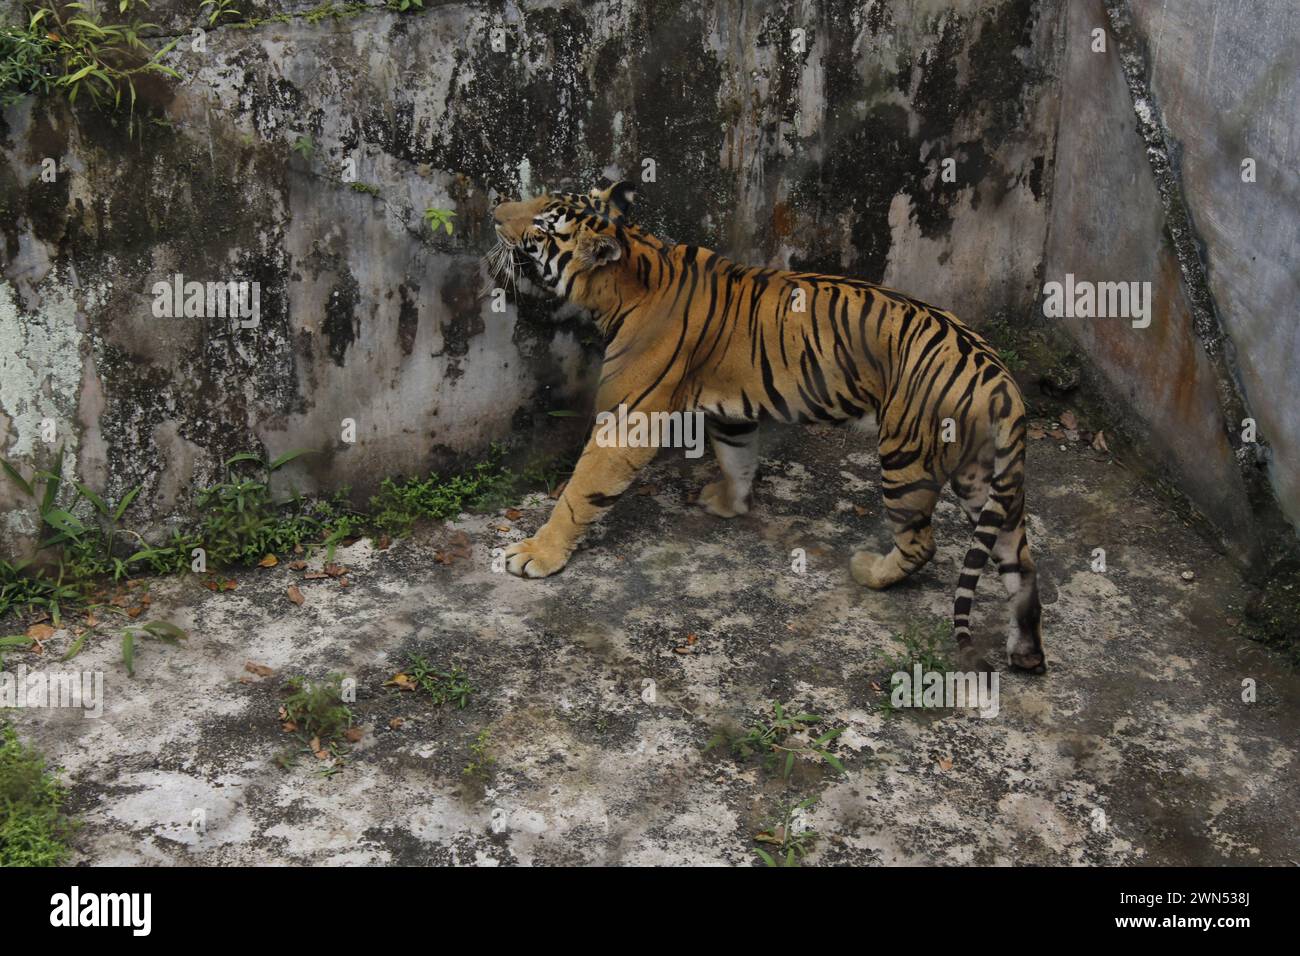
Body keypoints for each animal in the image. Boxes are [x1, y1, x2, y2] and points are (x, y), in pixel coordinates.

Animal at [485, 180, 1045, 673]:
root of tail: (1000, 377)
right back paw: (1026, 652)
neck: (633, 269)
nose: (493, 214)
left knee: (922, 543)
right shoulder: (733, 412)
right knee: (1019, 560)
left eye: (541, 224)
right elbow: (738, 459)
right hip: (983, 479)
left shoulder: (630, 420)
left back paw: (871, 572)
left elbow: (579, 492)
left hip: (907, 460)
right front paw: (728, 504)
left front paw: (536, 554)